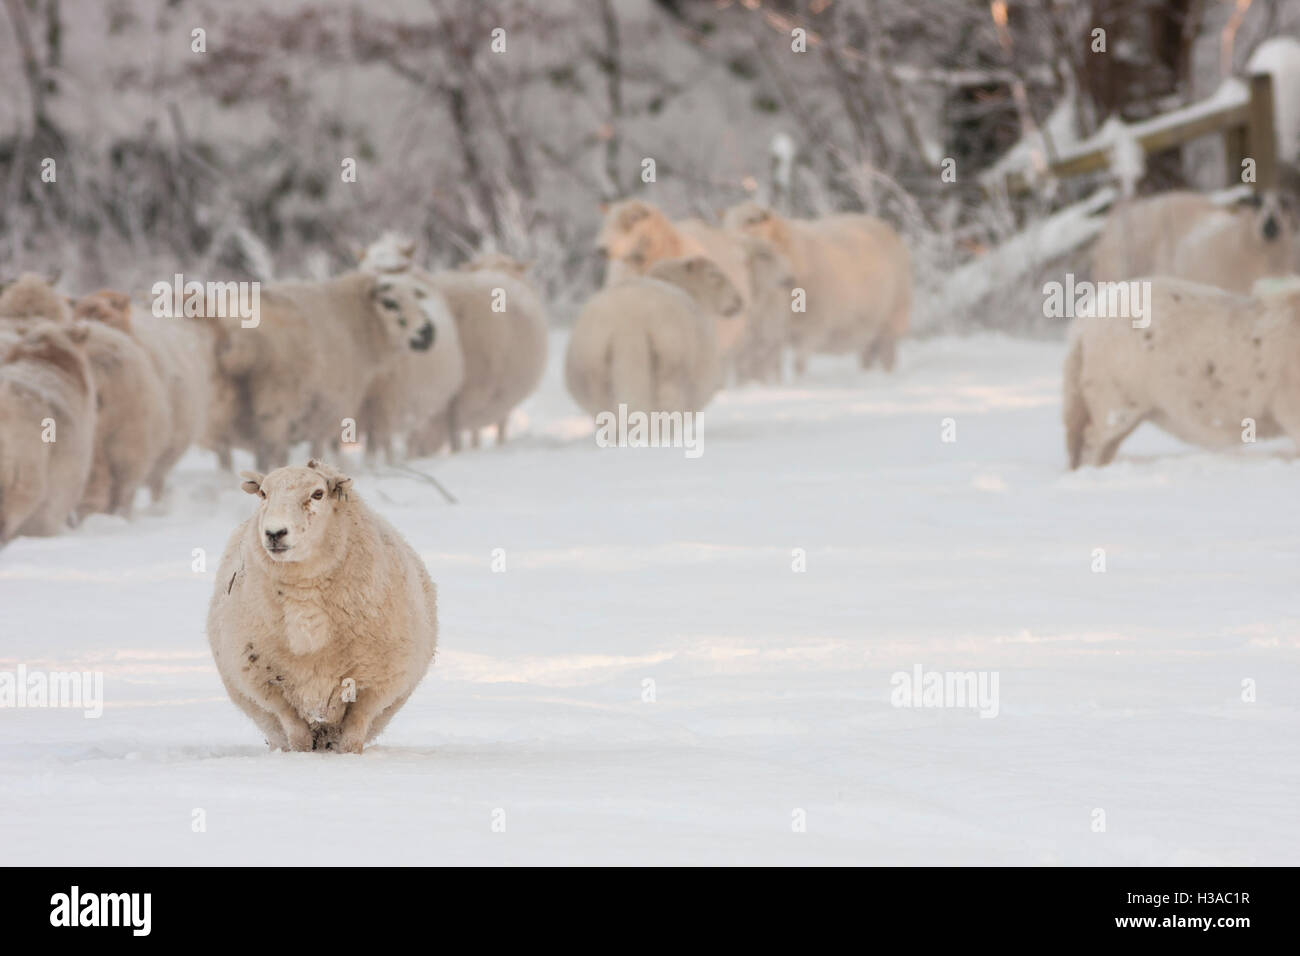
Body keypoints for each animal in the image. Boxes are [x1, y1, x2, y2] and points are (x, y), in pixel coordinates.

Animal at [207, 460, 438, 753]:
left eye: (318, 494)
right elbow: (297, 736)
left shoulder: (372, 687)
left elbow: (353, 735)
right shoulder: (269, 687)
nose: (274, 533)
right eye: (263, 493)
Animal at [212, 272, 437, 471]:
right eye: (390, 303)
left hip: (220, 406)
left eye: (417, 299)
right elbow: (324, 445)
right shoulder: (330, 407)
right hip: (274, 405)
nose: (427, 333)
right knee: (266, 453)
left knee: (225, 455)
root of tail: (238, 336)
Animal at [723, 201, 912, 376]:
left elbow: (798, 364)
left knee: (888, 356)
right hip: (871, 328)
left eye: (751, 222)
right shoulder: (775, 332)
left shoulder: (812, 328)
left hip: (893, 316)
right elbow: (774, 366)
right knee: (868, 356)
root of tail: (883, 225)